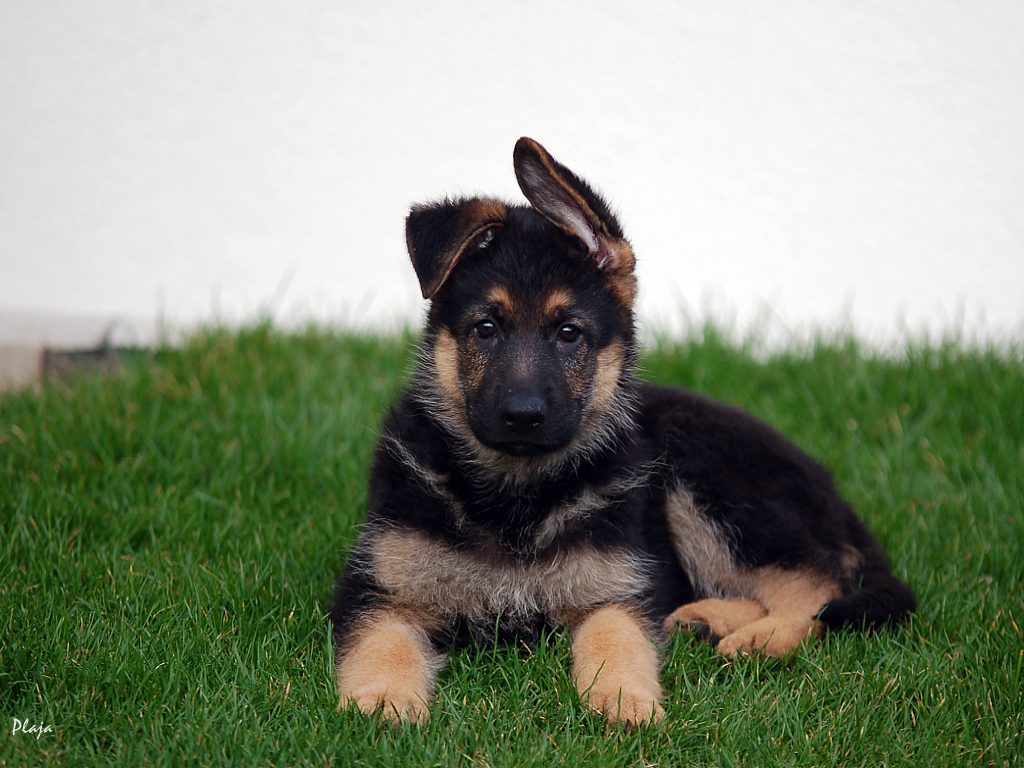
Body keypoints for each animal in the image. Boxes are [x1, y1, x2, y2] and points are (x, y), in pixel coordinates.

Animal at [331, 140, 917, 729]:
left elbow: (617, 638)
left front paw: (623, 700)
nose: (523, 415)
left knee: (820, 583)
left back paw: (762, 638)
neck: (516, 499)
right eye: (486, 328)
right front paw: (383, 700)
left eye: (569, 333)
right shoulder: (381, 589)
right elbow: (382, 643)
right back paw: (708, 620)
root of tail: (833, 496)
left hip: (709, 479)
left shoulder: (617, 590)